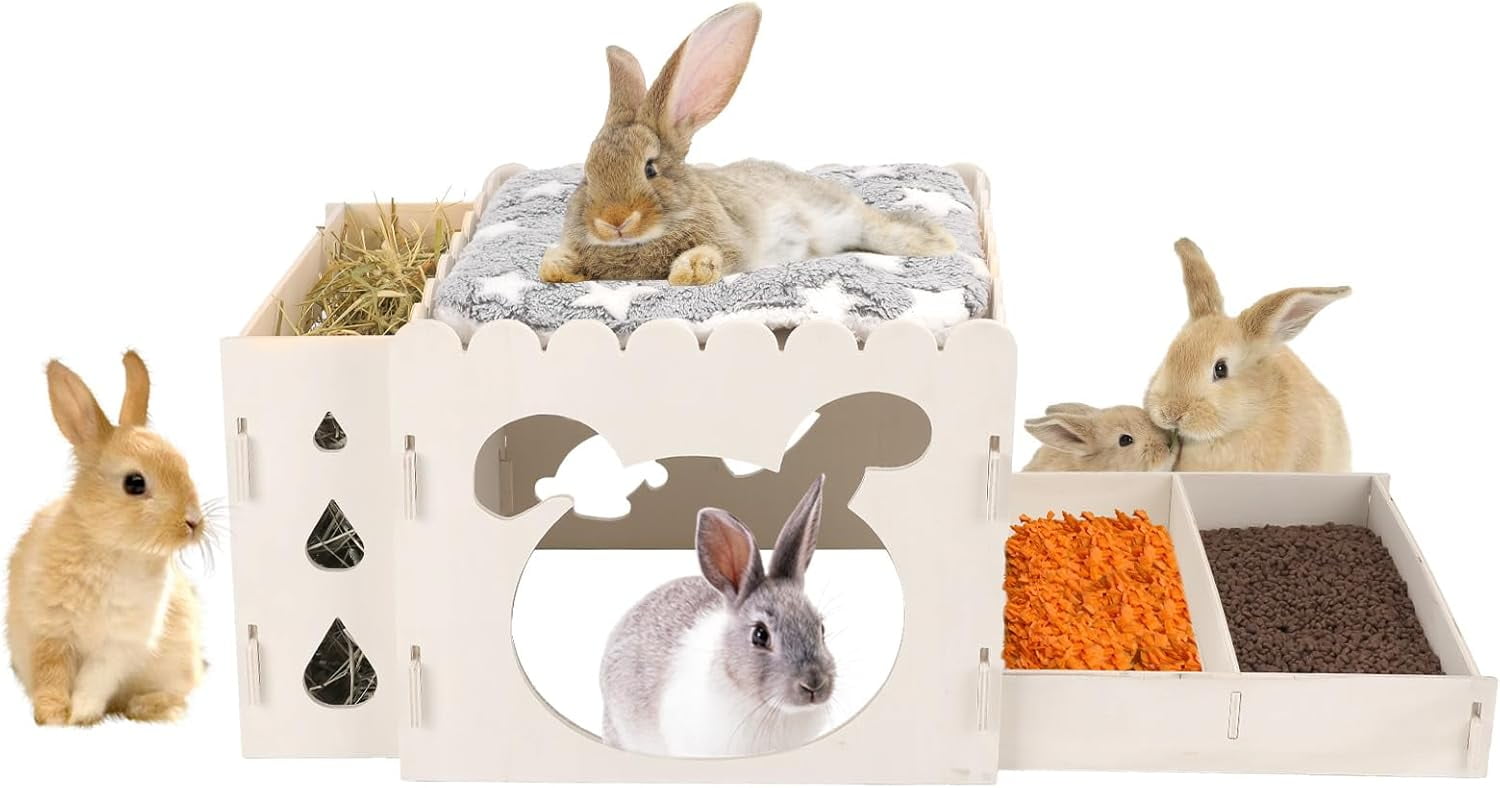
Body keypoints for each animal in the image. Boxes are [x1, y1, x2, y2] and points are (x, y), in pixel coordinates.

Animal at [6, 351, 206, 725]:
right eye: (134, 483)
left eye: (184, 465)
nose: (193, 523)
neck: (114, 550)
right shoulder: (51, 631)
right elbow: (51, 675)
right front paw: (53, 716)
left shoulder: (118, 647)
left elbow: (94, 680)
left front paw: (80, 714)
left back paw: (151, 707)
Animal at [538, 3, 956, 286]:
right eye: (587, 175)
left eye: (650, 168)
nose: (614, 222)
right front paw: (555, 268)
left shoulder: (732, 242)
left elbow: (716, 255)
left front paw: (691, 271)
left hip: (842, 217)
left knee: (873, 224)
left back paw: (938, 243)